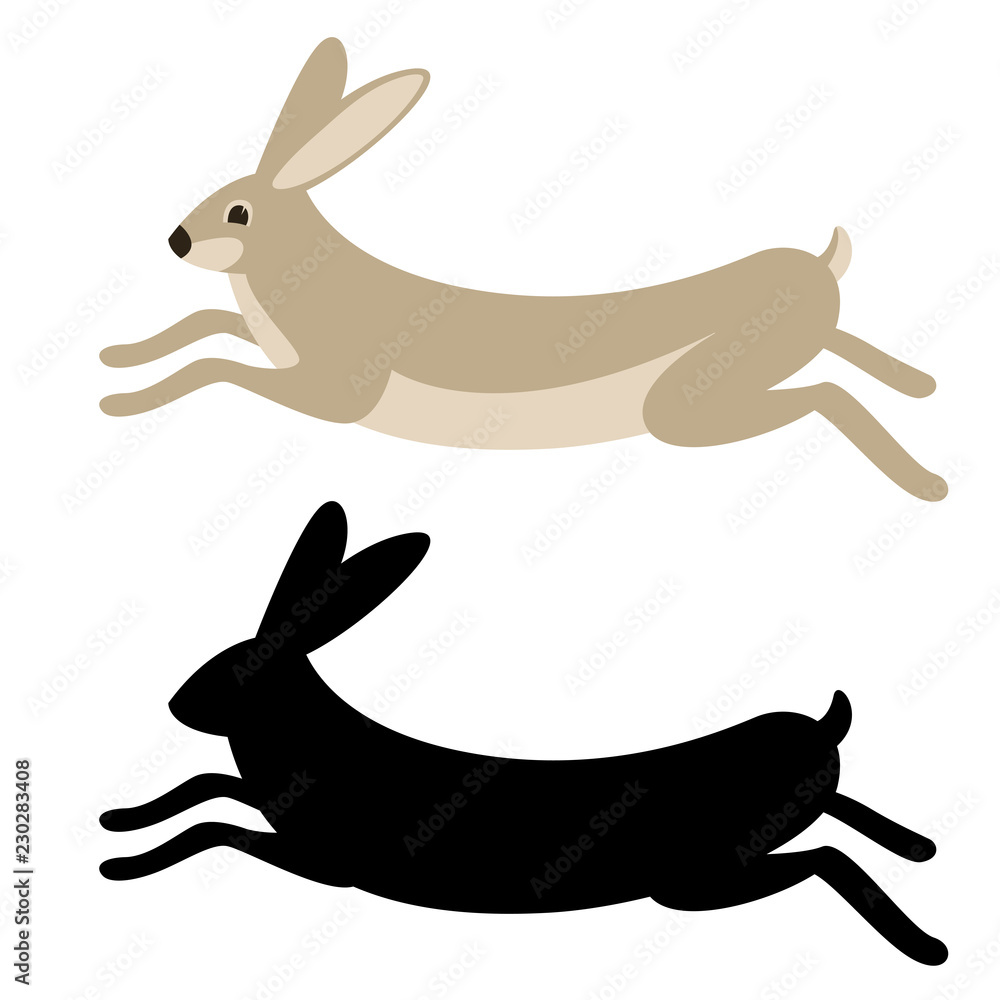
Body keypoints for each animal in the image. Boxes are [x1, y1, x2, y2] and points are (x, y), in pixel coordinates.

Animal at [98, 38, 947, 502]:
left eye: (240, 212)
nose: (176, 242)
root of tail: (817, 267)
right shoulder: (275, 349)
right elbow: (205, 323)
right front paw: (117, 355)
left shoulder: (333, 392)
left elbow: (214, 367)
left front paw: (123, 403)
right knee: (841, 356)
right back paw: (922, 384)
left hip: (686, 407)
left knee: (827, 394)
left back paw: (927, 484)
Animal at [99, 502, 947, 965]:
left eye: (230, 671)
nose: (177, 704)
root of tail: (821, 731)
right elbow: (205, 789)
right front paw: (119, 821)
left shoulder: (325, 861)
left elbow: (213, 828)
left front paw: (124, 867)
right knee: (845, 826)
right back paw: (920, 849)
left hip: (697, 879)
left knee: (829, 859)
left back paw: (926, 948)